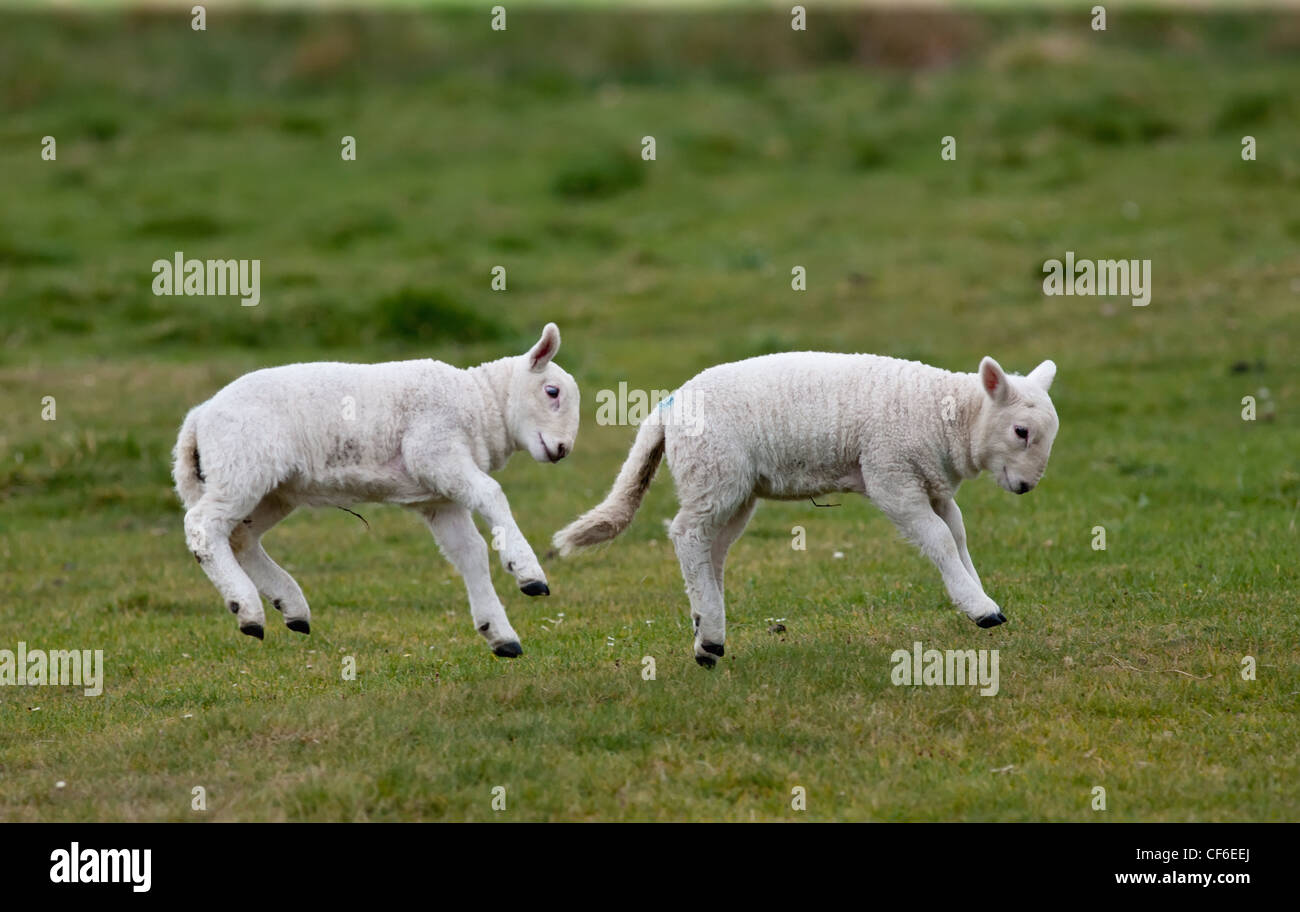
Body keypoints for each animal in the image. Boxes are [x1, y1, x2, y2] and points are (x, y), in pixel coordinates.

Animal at [172, 323, 578, 656]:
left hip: (274, 489)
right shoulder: (434, 452)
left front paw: (499, 633)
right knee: (202, 525)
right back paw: (247, 608)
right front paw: (528, 571)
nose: (562, 450)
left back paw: (289, 606)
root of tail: (199, 415)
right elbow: (492, 493)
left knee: (240, 537)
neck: (479, 404)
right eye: (551, 391)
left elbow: (470, 552)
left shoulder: (438, 498)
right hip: (243, 468)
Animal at [554, 352, 1058, 666]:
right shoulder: (891, 475)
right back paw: (711, 633)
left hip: (734, 487)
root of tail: (666, 408)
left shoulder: (932, 483)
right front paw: (981, 608)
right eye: (1020, 431)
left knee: (712, 549)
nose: (1027, 487)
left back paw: (706, 631)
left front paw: (978, 593)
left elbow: (958, 536)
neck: (946, 416)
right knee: (687, 535)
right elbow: (938, 539)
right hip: (714, 471)